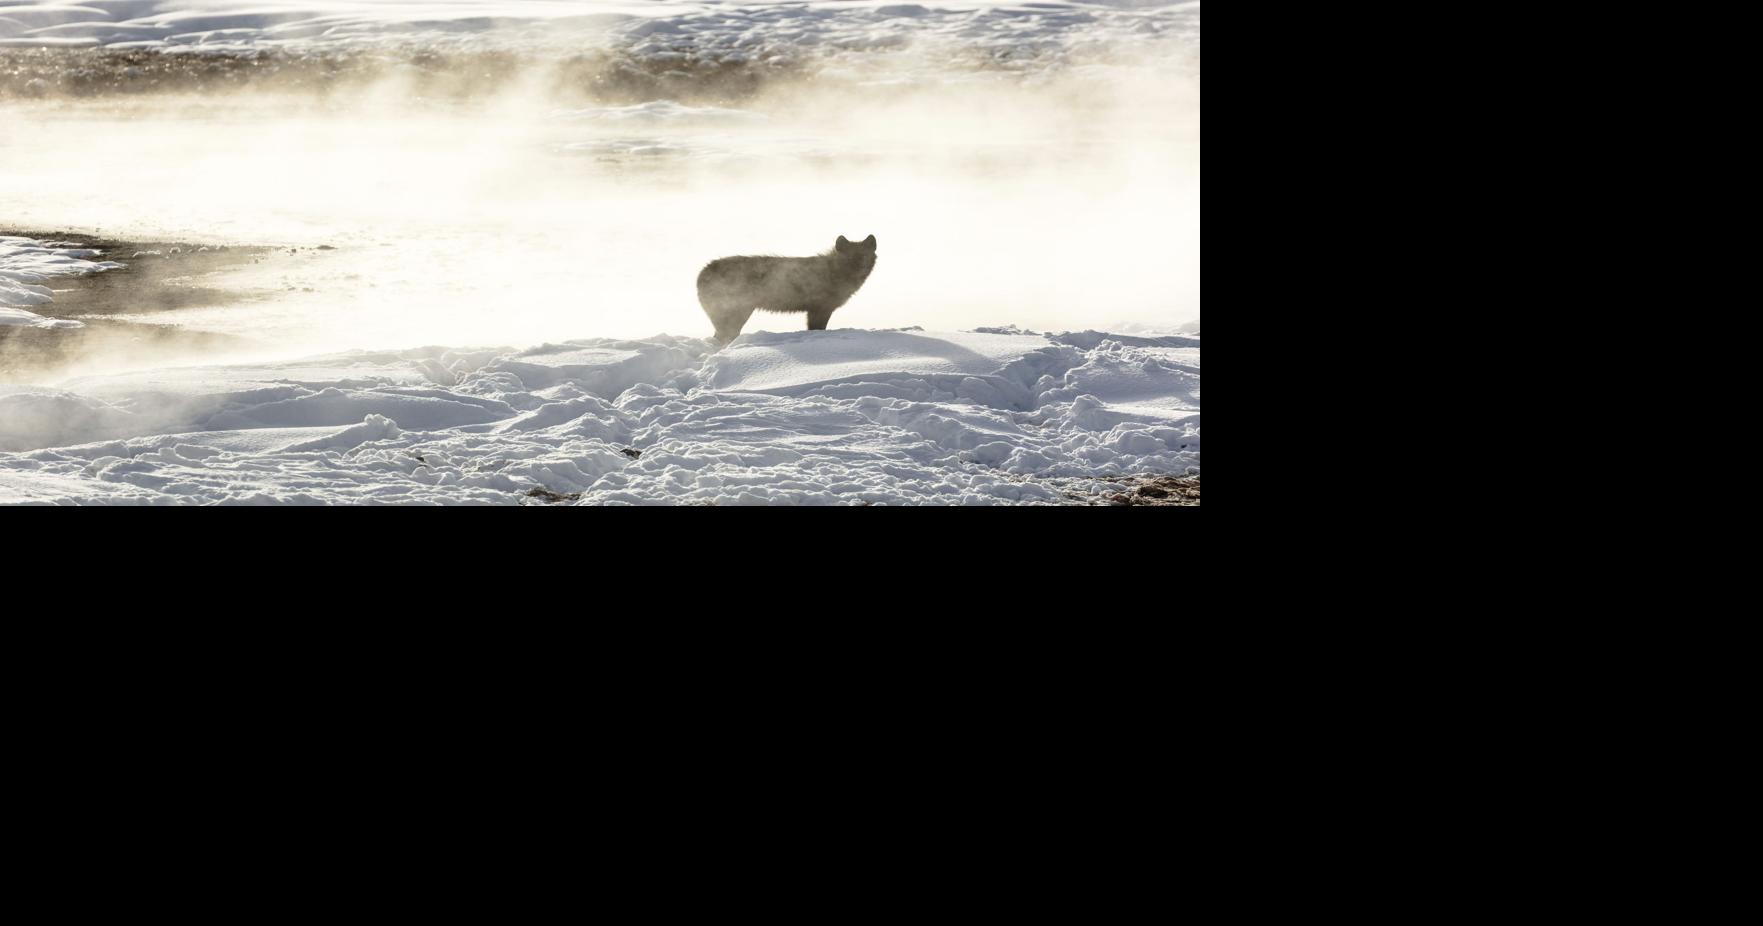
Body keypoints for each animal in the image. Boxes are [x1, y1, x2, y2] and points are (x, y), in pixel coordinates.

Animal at [697, 235, 878, 344]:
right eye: (849, 258)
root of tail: (700, 275)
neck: (835, 274)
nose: (859, 268)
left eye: (864, 256)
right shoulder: (819, 308)